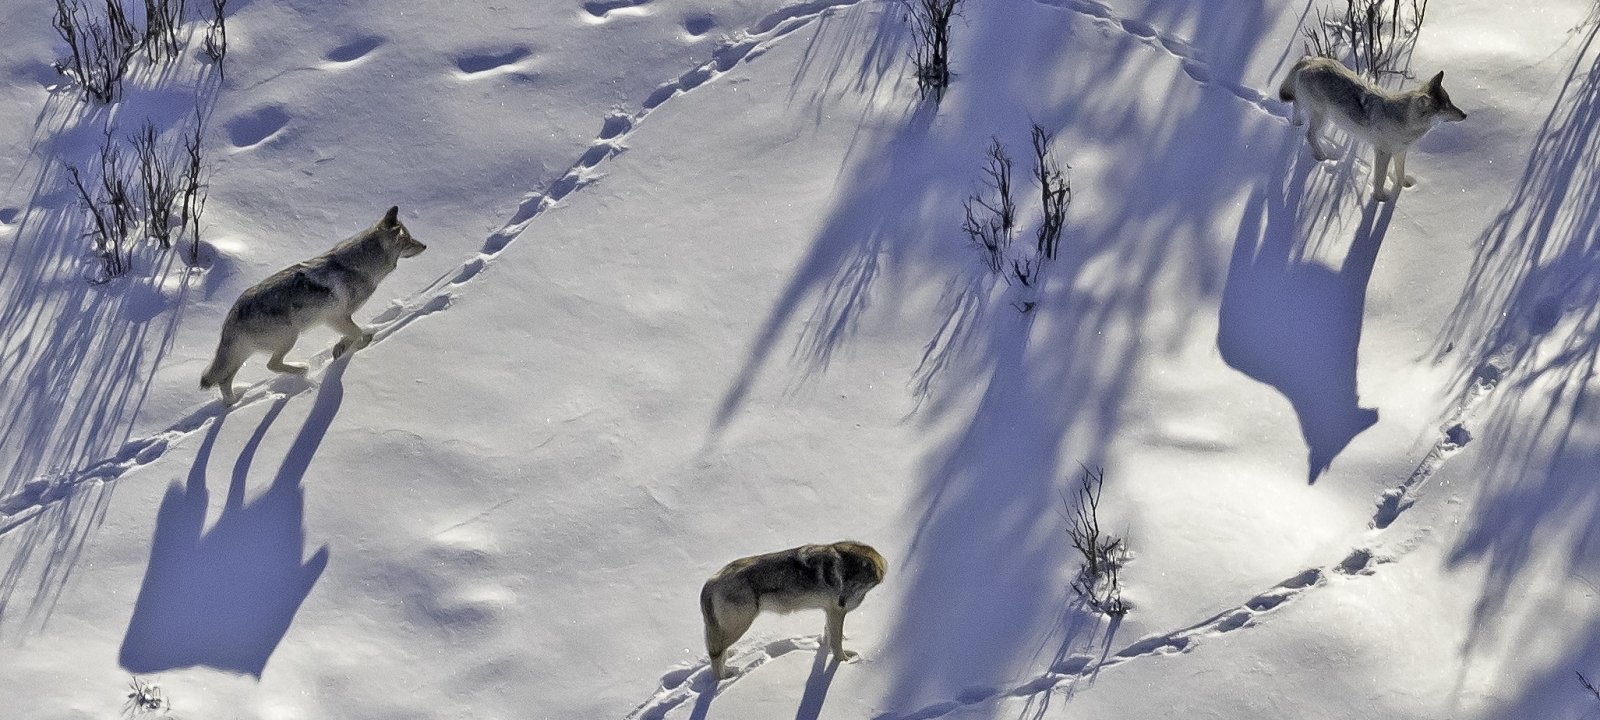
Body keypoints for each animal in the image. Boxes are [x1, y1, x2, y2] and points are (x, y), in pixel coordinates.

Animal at [200, 206, 426, 404]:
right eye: (408, 241)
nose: (425, 246)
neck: (360, 266)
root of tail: (234, 313)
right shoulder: (336, 317)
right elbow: (357, 333)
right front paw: (356, 345)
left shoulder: (337, 320)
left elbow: (353, 333)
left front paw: (341, 348)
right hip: (290, 337)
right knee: (270, 365)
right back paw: (302, 369)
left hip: (246, 353)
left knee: (224, 381)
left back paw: (234, 402)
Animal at [700, 540, 887, 681]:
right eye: (840, 579)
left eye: (851, 581)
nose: (841, 601)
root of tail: (711, 581)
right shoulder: (837, 612)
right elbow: (836, 642)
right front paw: (843, 662)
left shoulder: (830, 611)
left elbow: (829, 636)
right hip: (739, 626)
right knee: (715, 655)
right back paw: (724, 678)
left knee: (719, 650)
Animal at [1278, 56, 1466, 201]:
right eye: (1445, 108)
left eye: (1450, 103)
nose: (1465, 115)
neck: (1405, 121)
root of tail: (1309, 60)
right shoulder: (1383, 152)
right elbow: (1380, 179)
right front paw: (1380, 199)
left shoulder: (1400, 152)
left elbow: (1400, 173)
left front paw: (1404, 188)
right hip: (1321, 118)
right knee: (1309, 135)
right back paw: (1321, 156)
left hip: (1313, 111)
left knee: (1296, 108)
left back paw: (1297, 124)